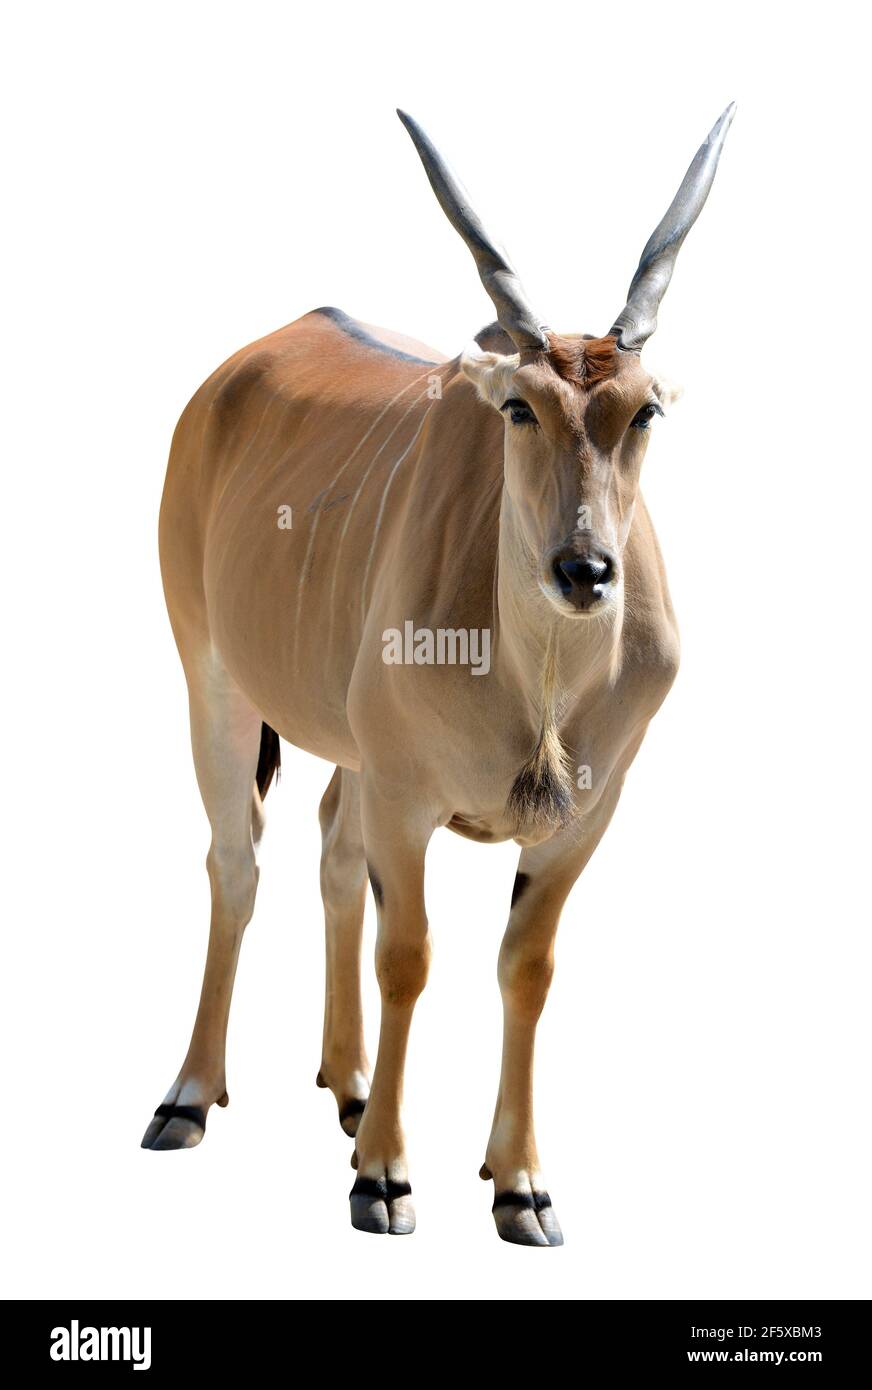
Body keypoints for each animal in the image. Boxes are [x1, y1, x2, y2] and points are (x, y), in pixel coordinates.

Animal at [143, 105, 735, 1246]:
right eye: (519, 408)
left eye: (642, 410)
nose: (584, 569)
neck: (537, 690)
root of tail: (228, 378)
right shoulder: (409, 799)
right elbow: (408, 957)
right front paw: (384, 1177)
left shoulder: (582, 816)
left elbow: (525, 968)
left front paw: (520, 1183)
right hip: (212, 678)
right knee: (237, 859)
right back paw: (190, 1096)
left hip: (350, 746)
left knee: (330, 848)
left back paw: (349, 1084)